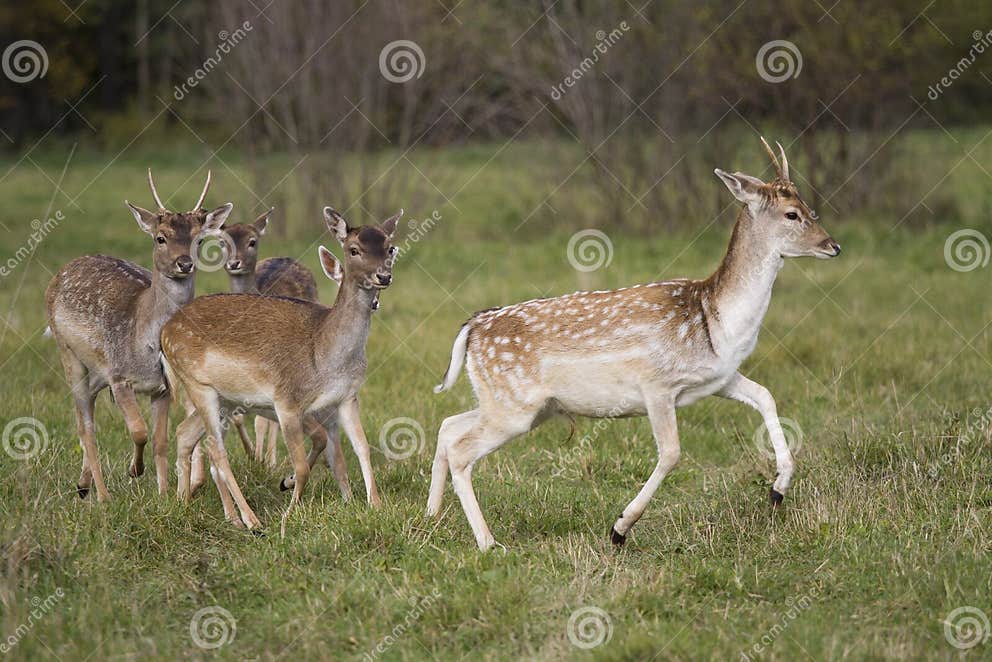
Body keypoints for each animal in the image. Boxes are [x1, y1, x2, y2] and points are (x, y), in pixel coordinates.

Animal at [44, 170, 230, 501]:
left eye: (199, 238)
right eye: (161, 237)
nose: (184, 263)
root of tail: (58, 274)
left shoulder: (162, 388)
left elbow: (160, 440)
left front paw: (165, 493)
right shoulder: (119, 377)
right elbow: (138, 430)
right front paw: (135, 470)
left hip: (97, 371)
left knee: (87, 407)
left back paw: (83, 484)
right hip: (67, 352)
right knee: (86, 425)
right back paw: (102, 495)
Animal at [160, 207, 400, 530]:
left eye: (389, 248)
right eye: (354, 250)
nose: (383, 276)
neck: (324, 353)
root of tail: (165, 332)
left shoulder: (347, 396)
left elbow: (361, 448)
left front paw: (375, 506)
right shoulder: (286, 400)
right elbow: (301, 466)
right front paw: (288, 514)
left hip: (225, 397)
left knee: (185, 433)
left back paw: (184, 501)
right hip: (197, 384)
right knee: (216, 449)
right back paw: (251, 520)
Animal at [427, 138, 842, 551]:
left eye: (812, 208)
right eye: (792, 214)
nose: (833, 246)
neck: (715, 320)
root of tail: (473, 326)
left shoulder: (719, 378)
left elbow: (766, 396)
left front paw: (778, 491)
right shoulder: (657, 384)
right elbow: (671, 453)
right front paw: (619, 528)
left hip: (522, 405)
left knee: (448, 426)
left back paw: (431, 517)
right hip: (513, 405)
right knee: (461, 450)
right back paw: (487, 543)